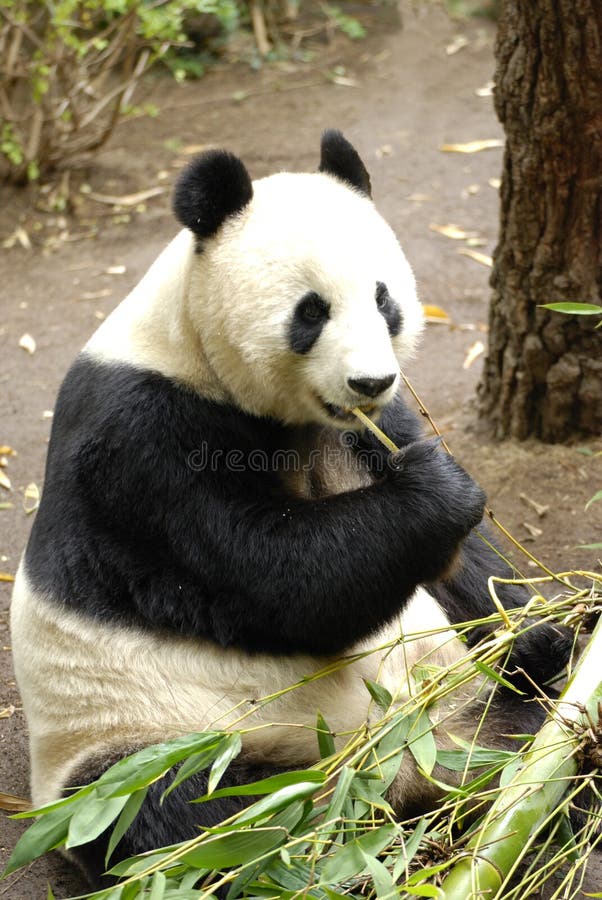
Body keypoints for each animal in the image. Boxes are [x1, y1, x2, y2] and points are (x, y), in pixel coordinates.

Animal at [10, 130, 571, 888]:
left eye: (384, 299)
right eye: (311, 311)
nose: (371, 379)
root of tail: (410, 754)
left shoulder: (361, 430)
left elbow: (464, 572)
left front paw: (538, 626)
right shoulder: (142, 443)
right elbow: (279, 579)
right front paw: (439, 491)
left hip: (461, 694)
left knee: (523, 724)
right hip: (140, 749)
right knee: (186, 821)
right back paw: (333, 851)